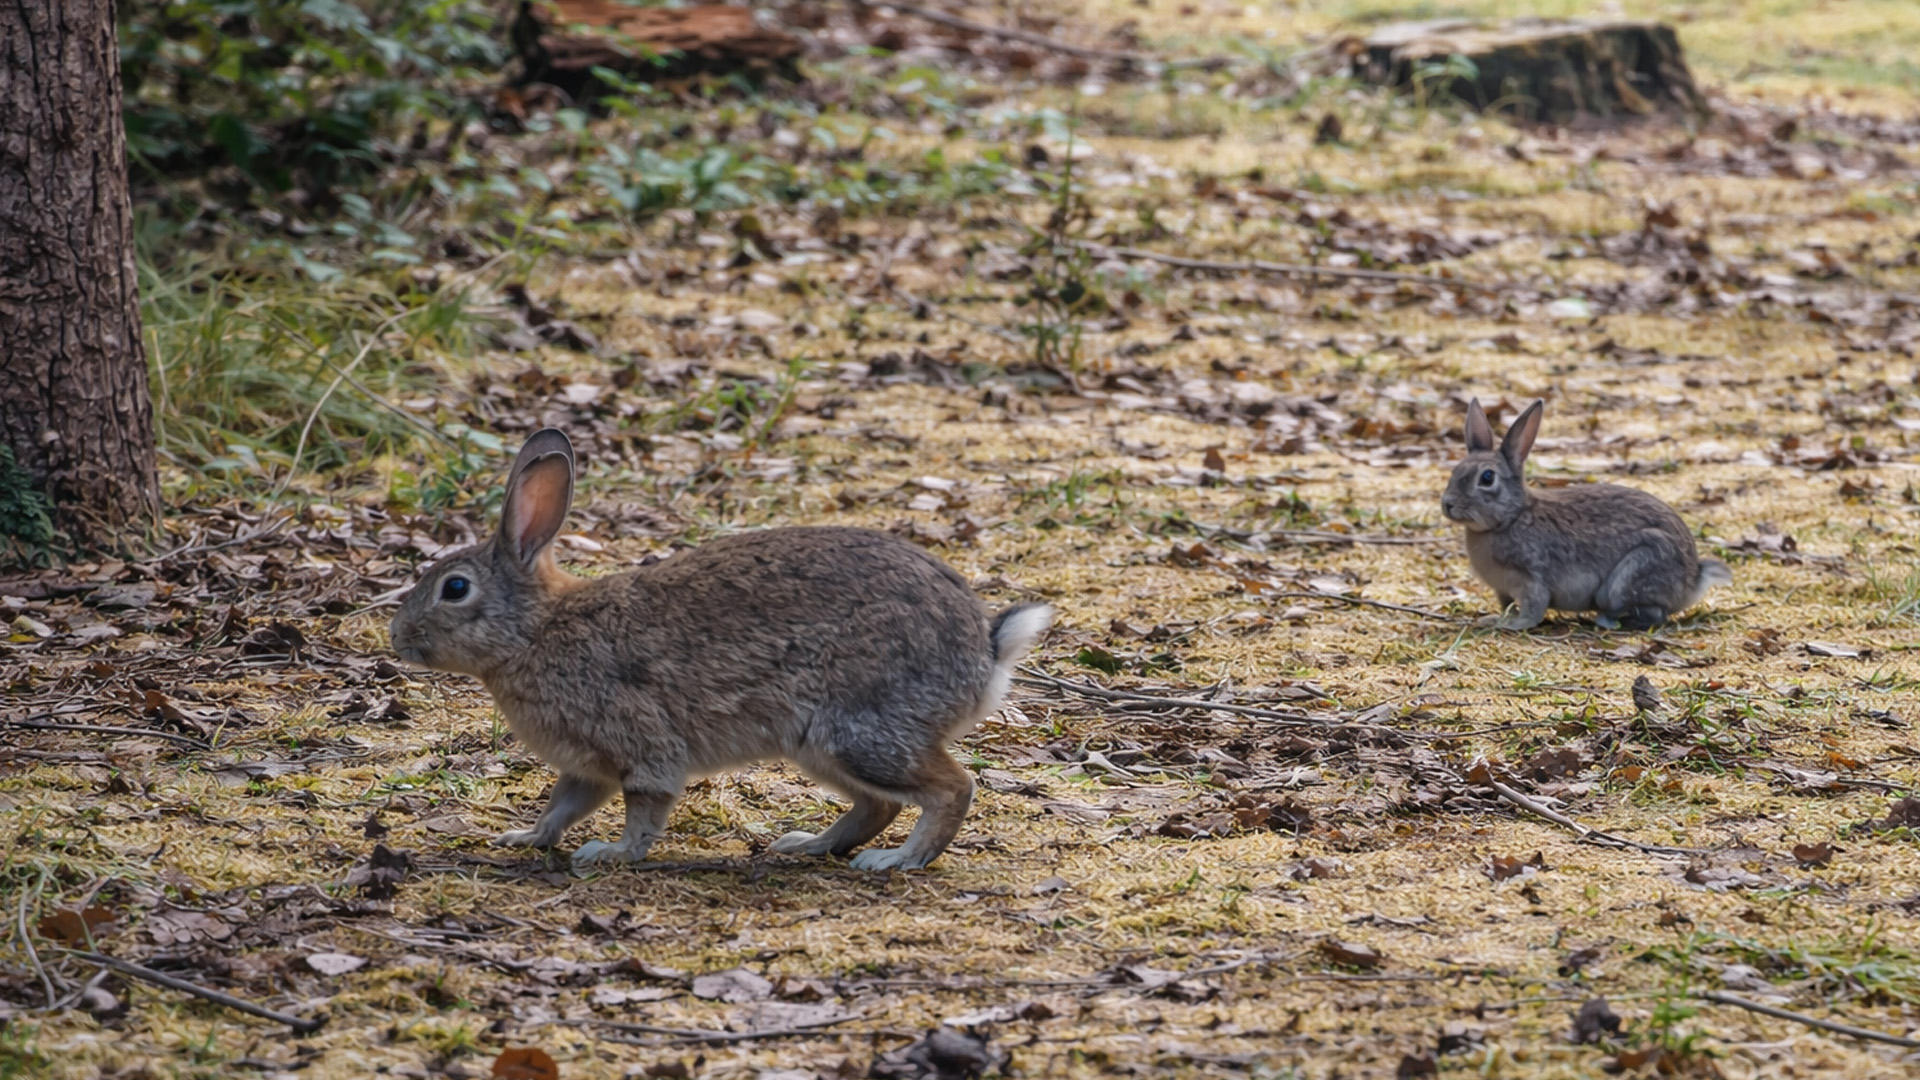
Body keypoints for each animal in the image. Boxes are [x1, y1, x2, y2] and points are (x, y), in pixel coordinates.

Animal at [389, 428, 1053, 870]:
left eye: (454, 589)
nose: (397, 636)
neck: (534, 630)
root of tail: (983, 652)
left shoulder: (639, 745)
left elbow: (644, 807)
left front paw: (611, 854)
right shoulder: (585, 765)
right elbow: (562, 806)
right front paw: (525, 840)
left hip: (862, 731)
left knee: (952, 788)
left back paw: (897, 861)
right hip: (819, 748)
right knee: (877, 806)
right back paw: (807, 845)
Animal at [1441, 398, 1731, 631]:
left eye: (1487, 478)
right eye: (1455, 471)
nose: (1447, 504)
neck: (1511, 518)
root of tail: (1693, 579)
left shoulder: (1533, 579)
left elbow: (1533, 610)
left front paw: (1512, 625)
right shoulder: (1503, 590)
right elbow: (1506, 605)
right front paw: (1495, 618)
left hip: (1636, 570)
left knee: (1654, 615)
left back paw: (1608, 620)